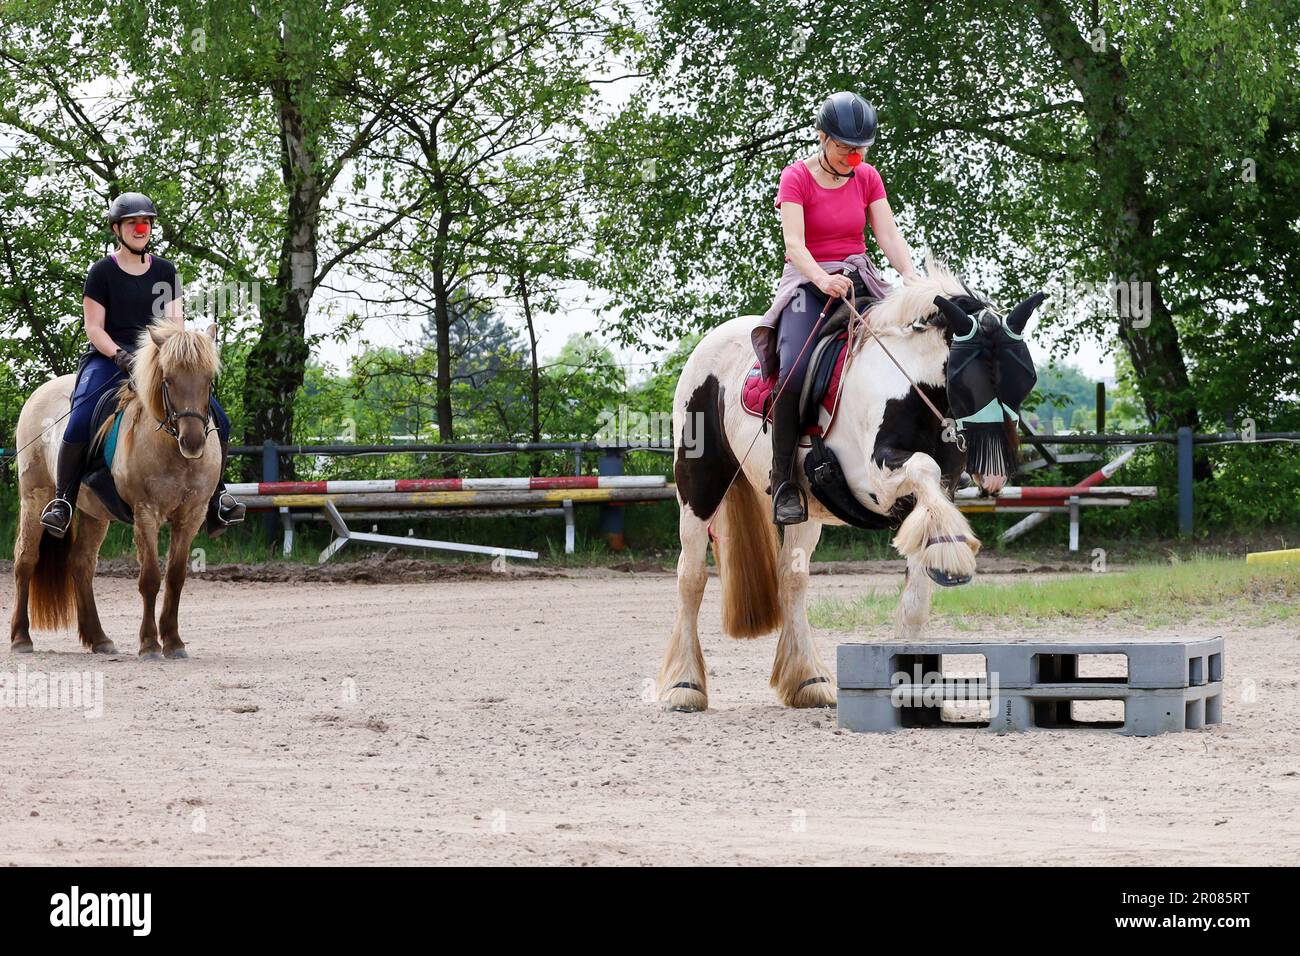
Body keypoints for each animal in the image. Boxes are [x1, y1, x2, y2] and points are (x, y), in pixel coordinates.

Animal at [10, 321, 224, 659]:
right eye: (167, 379)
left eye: (208, 380)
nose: (192, 443)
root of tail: (41, 392)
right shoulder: (145, 512)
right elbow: (150, 578)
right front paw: (149, 644)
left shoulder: (192, 515)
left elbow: (176, 577)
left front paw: (174, 642)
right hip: (35, 497)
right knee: (25, 560)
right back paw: (21, 638)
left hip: (94, 513)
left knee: (82, 564)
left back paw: (99, 638)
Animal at [658, 262, 1042, 711]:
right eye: (972, 380)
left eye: (1025, 378)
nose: (996, 474)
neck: (908, 382)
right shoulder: (874, 478)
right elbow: (923, 467)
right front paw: (951, 548)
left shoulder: (932, 492)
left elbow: (916, 595)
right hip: (698, 487)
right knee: (691, 577)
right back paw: (684, 686)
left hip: (804, 510)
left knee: (792, 581)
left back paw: (808, 681)